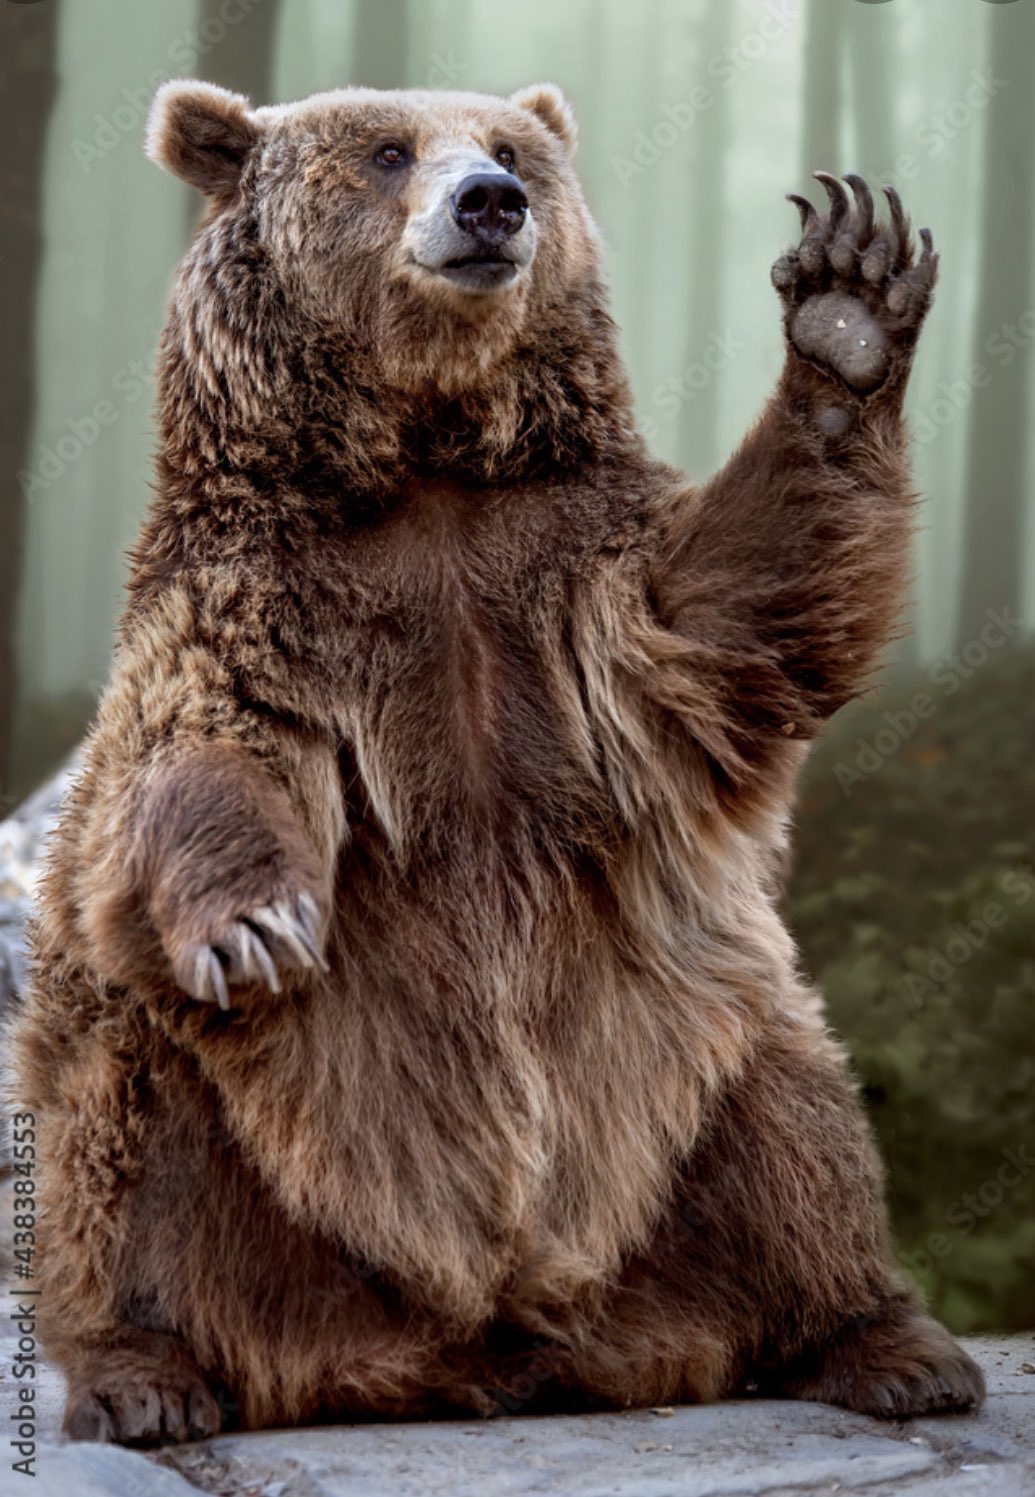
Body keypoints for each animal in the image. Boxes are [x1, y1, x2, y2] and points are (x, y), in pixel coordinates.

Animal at [10, 79, 984, 1446]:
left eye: (513, 148)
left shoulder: (575, 582)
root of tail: (484, 1338)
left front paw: (848, 299)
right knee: (121, 1150)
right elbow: (202, 761)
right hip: (201, 1093)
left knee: (801, 1131)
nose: (491, 203)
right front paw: (254, 924)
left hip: (692, 1064)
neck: (424, 466)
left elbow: (741, 602)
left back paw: (889, 1344)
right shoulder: (252, 606)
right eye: (386, 149)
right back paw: (145, 1375)